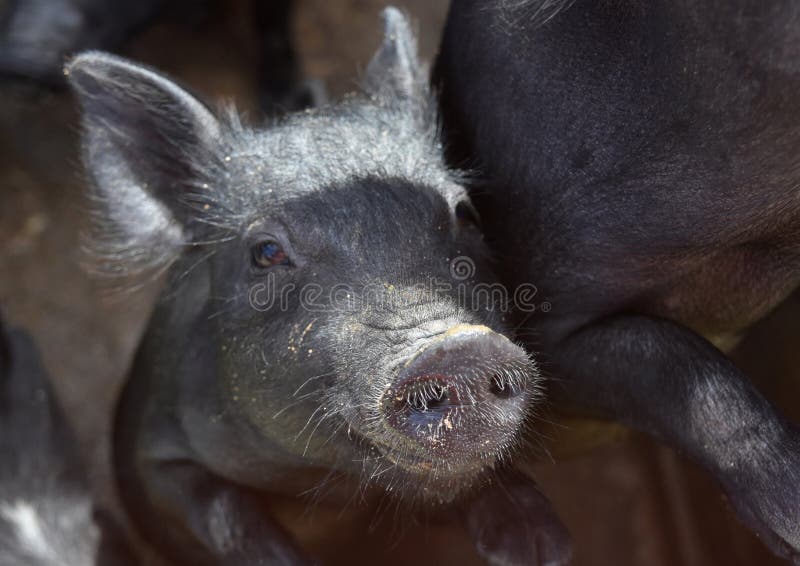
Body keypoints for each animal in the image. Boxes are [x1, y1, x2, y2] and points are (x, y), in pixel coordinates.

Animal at [66, 8, 570, 566]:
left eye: (464, 214)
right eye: (266, 252)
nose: (458, 350)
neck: (329, 489)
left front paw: (542, 545)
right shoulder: (156, 447)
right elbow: (223, 513)